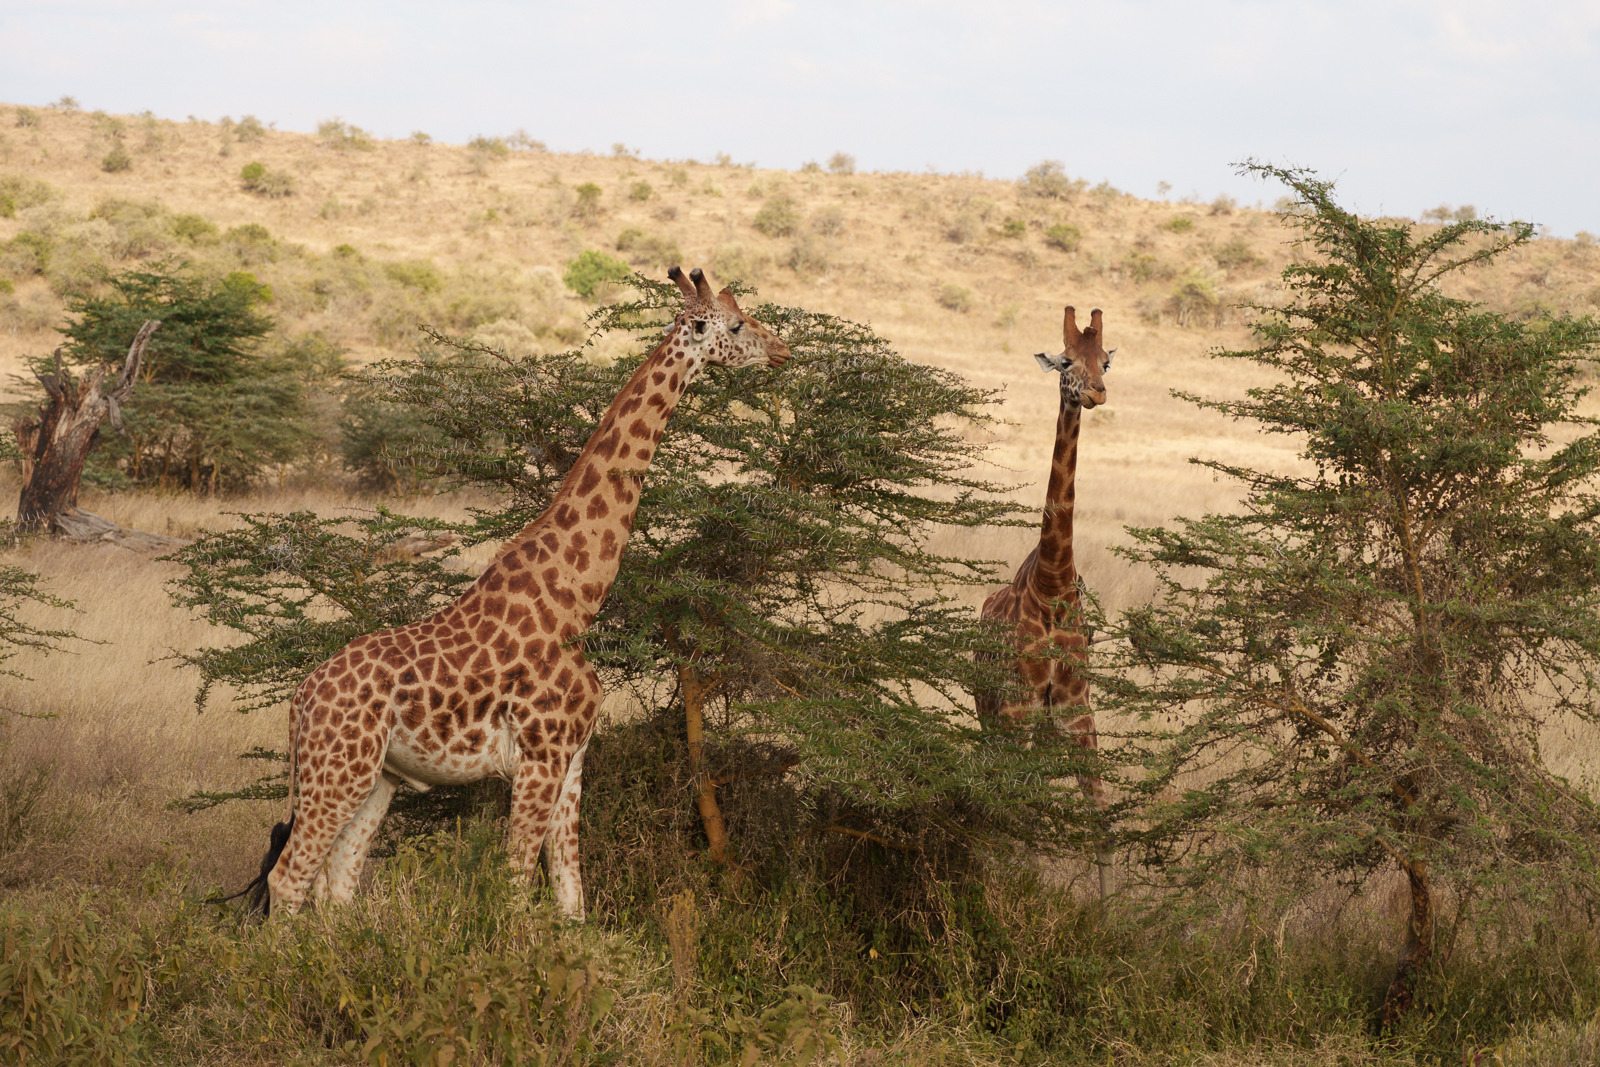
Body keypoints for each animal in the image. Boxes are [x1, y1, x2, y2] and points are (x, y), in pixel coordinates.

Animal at [252, 266, 791, 921]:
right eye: (735, 325)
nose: (784, 351)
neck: (575, 603)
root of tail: (299, 701)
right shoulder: (539, 756)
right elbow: (513, 886)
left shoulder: (574, 757)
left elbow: (571, 894)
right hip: (339, 767)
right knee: (288, 878)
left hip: (377, 776)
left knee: (338, 881)